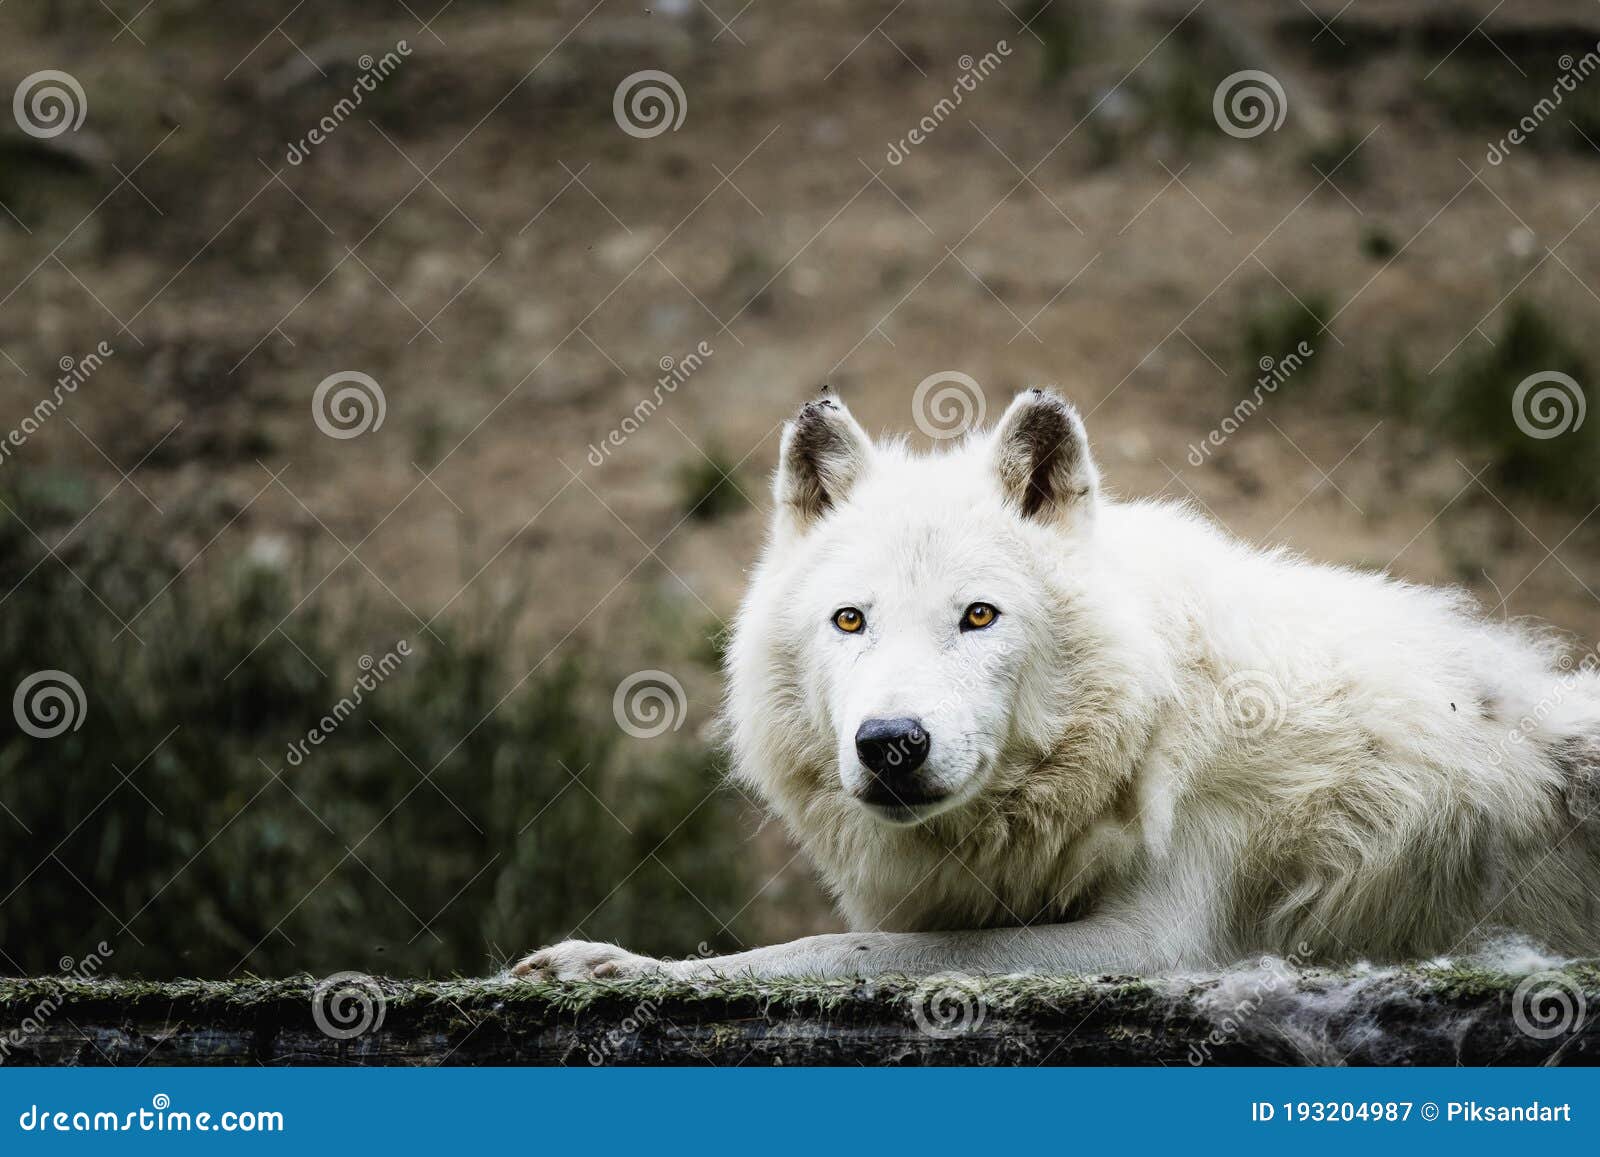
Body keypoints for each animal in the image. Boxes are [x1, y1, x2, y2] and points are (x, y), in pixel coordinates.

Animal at [516, 388, 1600, 980]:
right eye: (850, 620)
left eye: (978, 616)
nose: (890, 743)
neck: (1145, 726)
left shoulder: (1156, 940)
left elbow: (830, 954)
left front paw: (616, 965)